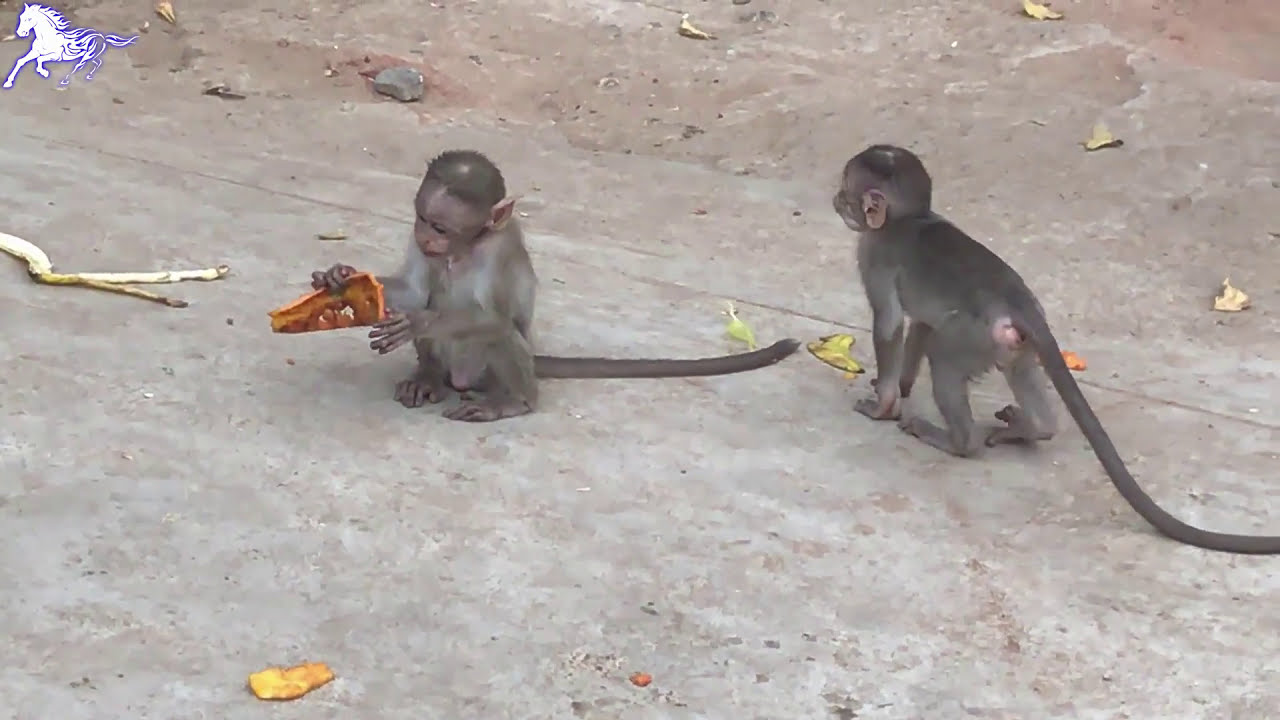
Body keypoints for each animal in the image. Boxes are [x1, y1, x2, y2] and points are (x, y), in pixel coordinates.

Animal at [310, 149, 800, 424]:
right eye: (421, 219)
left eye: (441, 226)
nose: (427, 237)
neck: (463, 249)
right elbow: (414, 289)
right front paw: (340, 277)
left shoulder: (500, 248)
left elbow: (492, 317)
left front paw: (416, 321)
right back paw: (428, 377)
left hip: (489, 372)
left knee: (500, 335)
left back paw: (514, 402)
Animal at [832, 142, 1280, 555]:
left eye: (846, 189)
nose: (835, 199)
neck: (909, 218)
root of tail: (1018, 303)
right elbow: (921, 326)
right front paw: (903, 385)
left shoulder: (873, 254)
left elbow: (890, 323)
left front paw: (884, 404)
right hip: (1013, 344)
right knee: (1014, 369)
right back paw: (1034, 428)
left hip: (973, 337)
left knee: (944, 357)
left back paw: (958, 441)